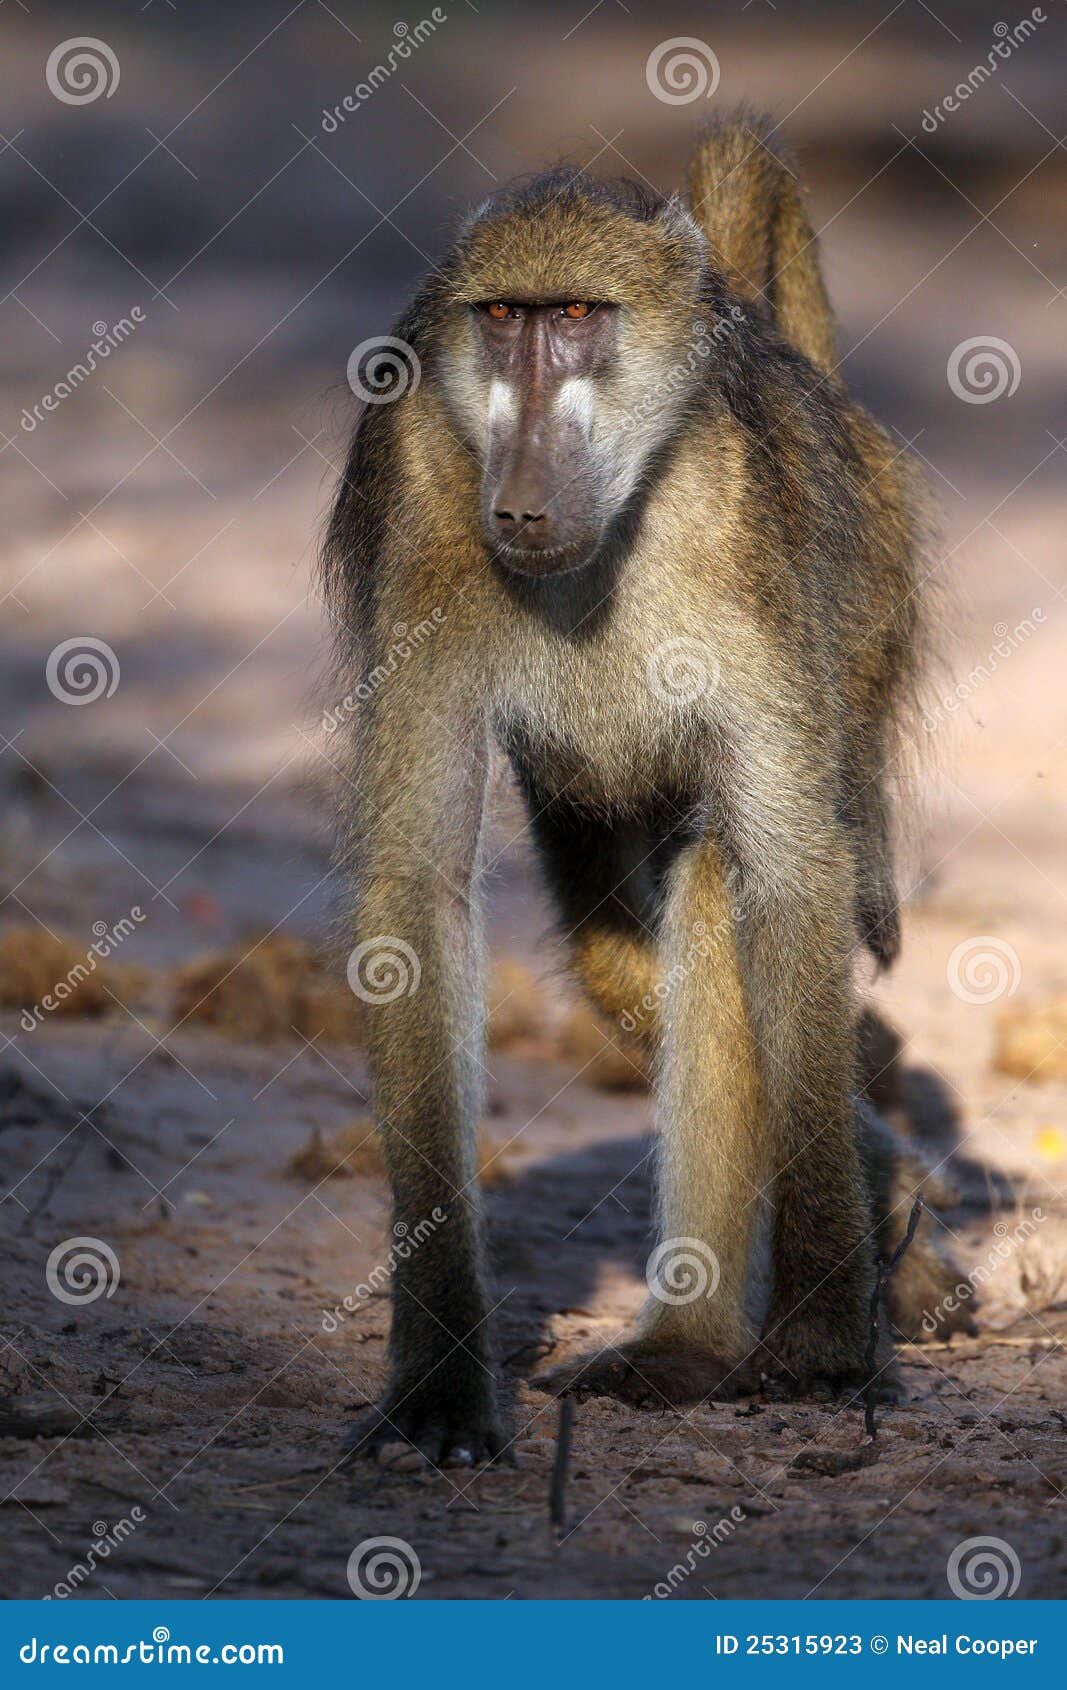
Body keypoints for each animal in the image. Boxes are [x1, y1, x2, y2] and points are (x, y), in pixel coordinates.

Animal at [321, 113, 964, 1465]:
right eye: (503, 320)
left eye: (576, 316)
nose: (520, 495)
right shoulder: (418, 516)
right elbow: (417, 896)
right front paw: (438, 1383)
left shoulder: (747, 536)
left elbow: (784, 879)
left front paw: (820, 1338)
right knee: (629, 961)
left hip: (864, 600)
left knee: (727, 884)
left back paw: (714, 1334)